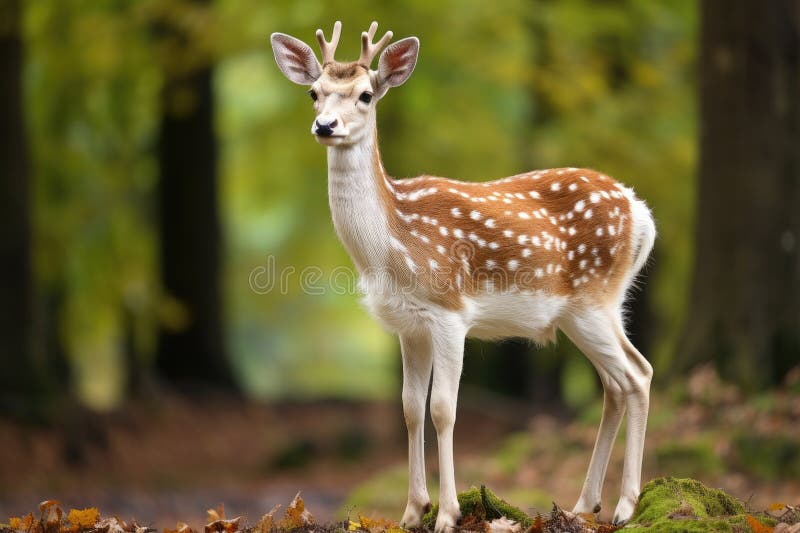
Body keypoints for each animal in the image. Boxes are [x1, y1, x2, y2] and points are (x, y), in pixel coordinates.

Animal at [270, 21, 656, 531]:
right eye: (314, 93)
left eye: (366, 94)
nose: (325, 126)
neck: (390, 247)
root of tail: (641, 212)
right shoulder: (407, 324)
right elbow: (410, 408)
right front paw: (412, 510)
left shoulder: (450, 312)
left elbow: (443, 409)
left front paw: (447, 513)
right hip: (589, 311)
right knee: (616, 383)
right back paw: (583, 504)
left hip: (594, 300)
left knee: (637, 375)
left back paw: (625, 505)